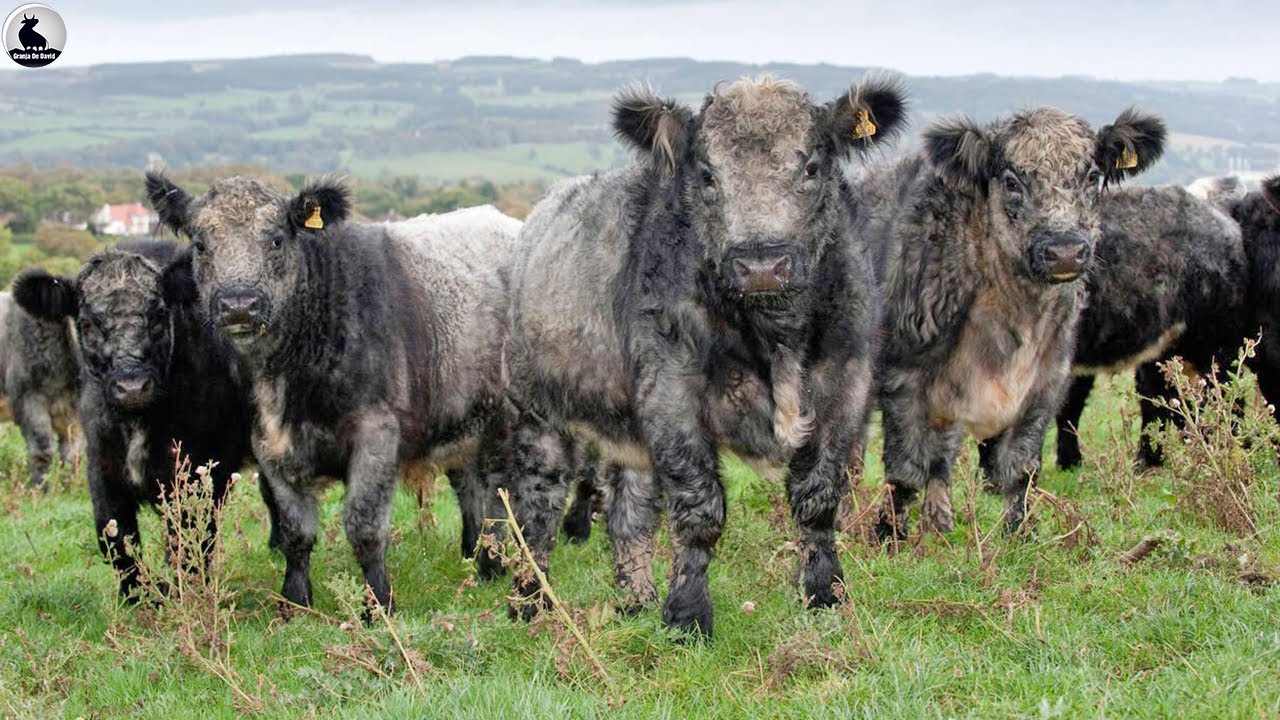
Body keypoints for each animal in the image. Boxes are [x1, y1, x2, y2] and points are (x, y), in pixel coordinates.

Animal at [12, 241, 279, 599]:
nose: (132, 387)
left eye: (159, 316)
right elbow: (115, 540)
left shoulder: (207, 468)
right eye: (87, 324)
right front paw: (138, 597)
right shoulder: (102, 466)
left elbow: (191, 541)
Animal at [143, 171, 523, 614]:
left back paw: (492, 565)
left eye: (276, 239)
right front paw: (294, 602)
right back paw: (477, 559)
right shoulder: (269, 445)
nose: (240, 305)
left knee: (499, 498)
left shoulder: (376, 434)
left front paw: (378, 604)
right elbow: (295, 531)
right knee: (472, 491)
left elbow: (364, 527)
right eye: (201, 245)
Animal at [508, 75, 908, 636]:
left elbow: (820, 496)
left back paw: (634, 597)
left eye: (811, 167)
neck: (776, 333)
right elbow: (699, 506)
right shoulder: (671, 391)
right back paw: (528, 600)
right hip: (537, 410)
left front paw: (825, 592)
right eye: (706, 174)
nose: (761, 265)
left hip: (625, 428)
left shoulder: (846, 383)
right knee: (535, 507)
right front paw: (687, 613)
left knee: (629, 507)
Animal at [851, 106, 1166, 537]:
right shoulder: (905, 381)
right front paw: (888, 536)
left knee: (941, 457)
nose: (1064, 251)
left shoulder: (1045, 383)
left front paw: (1019, 533)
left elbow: (1020, 469)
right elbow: (903, 473)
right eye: (1013, 181)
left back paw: (941, 522)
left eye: (1090, 175)